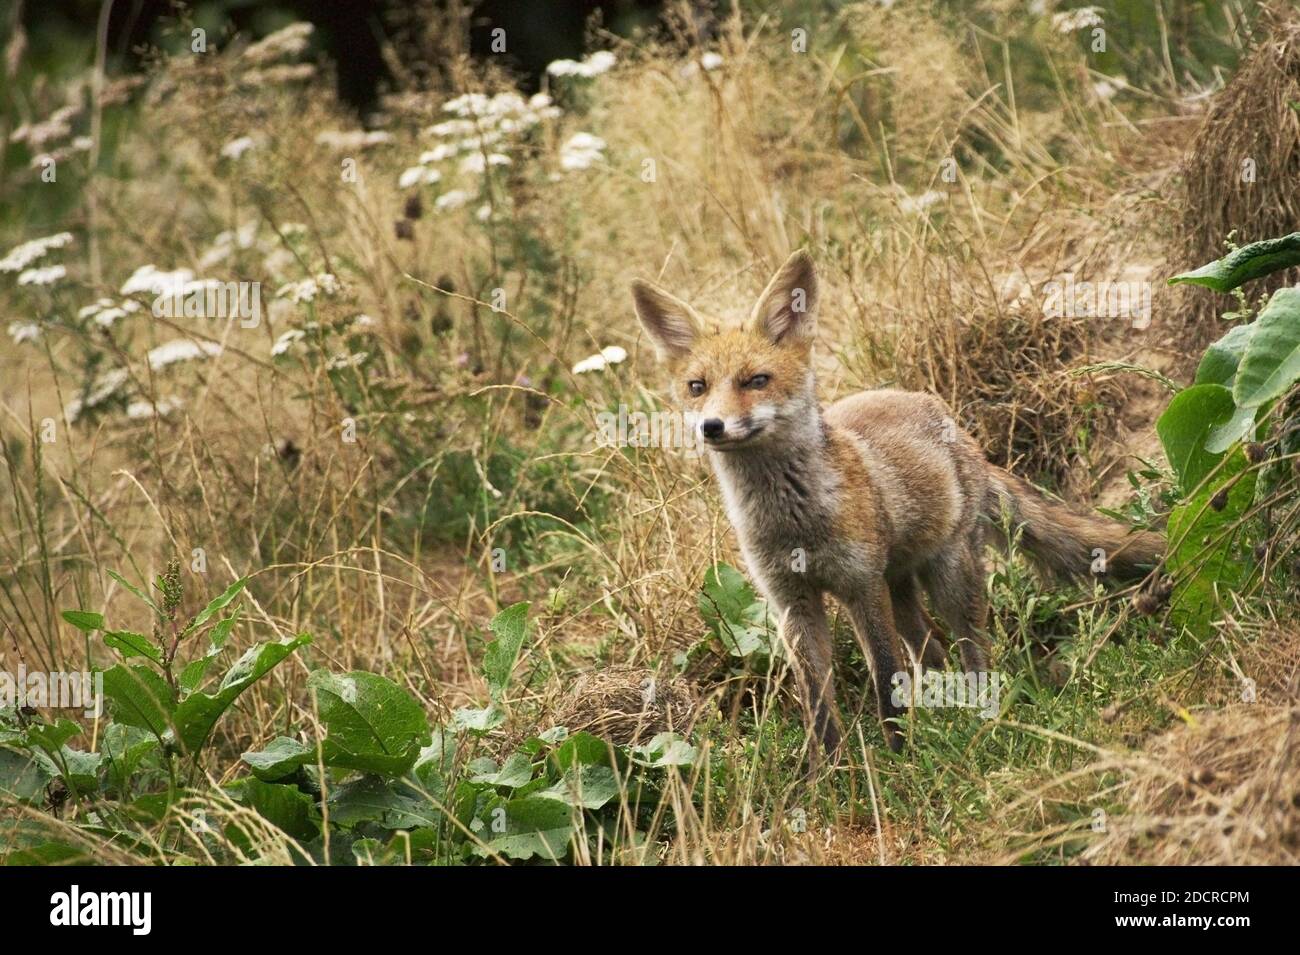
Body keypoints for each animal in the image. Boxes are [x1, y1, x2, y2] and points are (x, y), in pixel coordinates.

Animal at [631, 250, 1163, 758]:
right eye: (697, 387)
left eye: (756, 381)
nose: (712, 426)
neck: (793, 521)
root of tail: (947, 417)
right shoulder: (791, 603)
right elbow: (816, 703)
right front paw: (827, 772)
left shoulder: (861, 586)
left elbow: (886, 677)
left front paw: (898, 758)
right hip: (901, 586)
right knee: (931, 652)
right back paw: (945, 718)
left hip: (949, 576)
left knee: (970, 647)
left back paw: (980, 718)